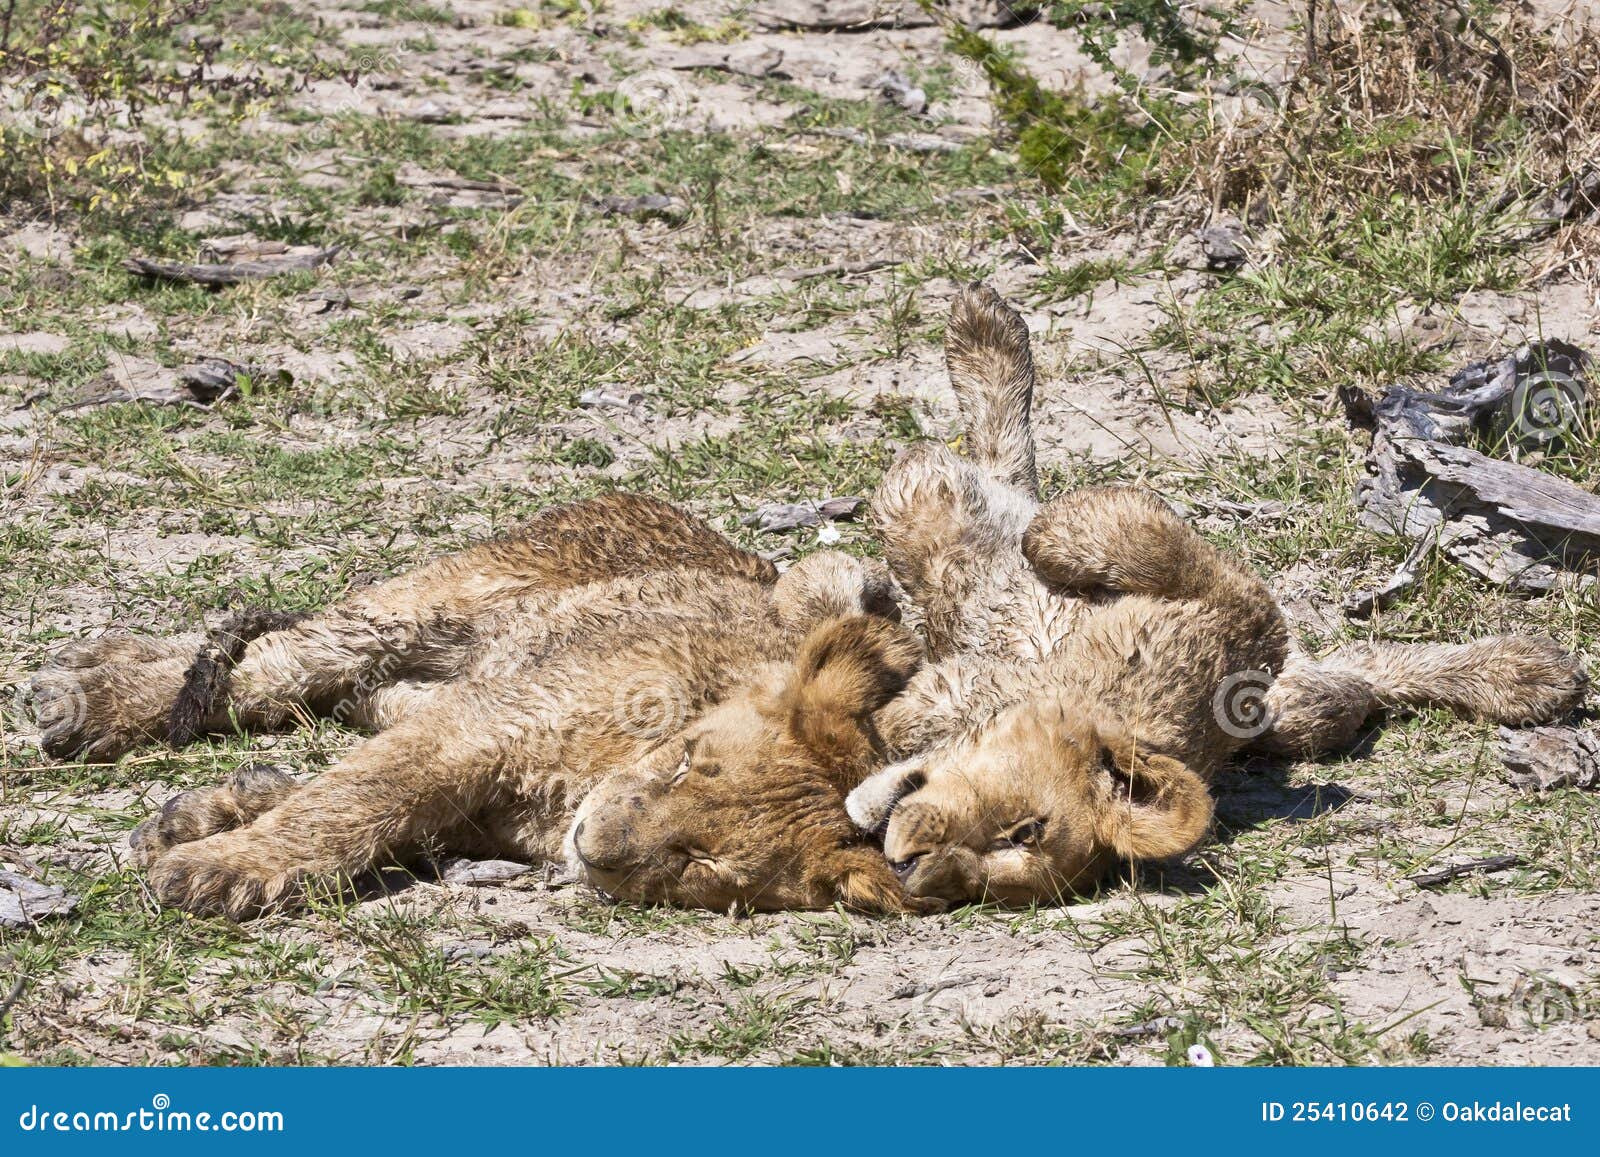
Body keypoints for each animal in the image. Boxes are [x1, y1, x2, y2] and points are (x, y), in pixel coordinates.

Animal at [31, 494, 929, 918]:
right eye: (684, 764)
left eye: (700, 863)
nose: (597, 844)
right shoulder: (481, 724)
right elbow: (352, 799)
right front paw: (217, 867)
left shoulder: (472, 773)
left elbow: (363, 801)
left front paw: (198, 826)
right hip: (436, 602)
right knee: (269, 660)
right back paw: (80, 693)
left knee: (339, 695)